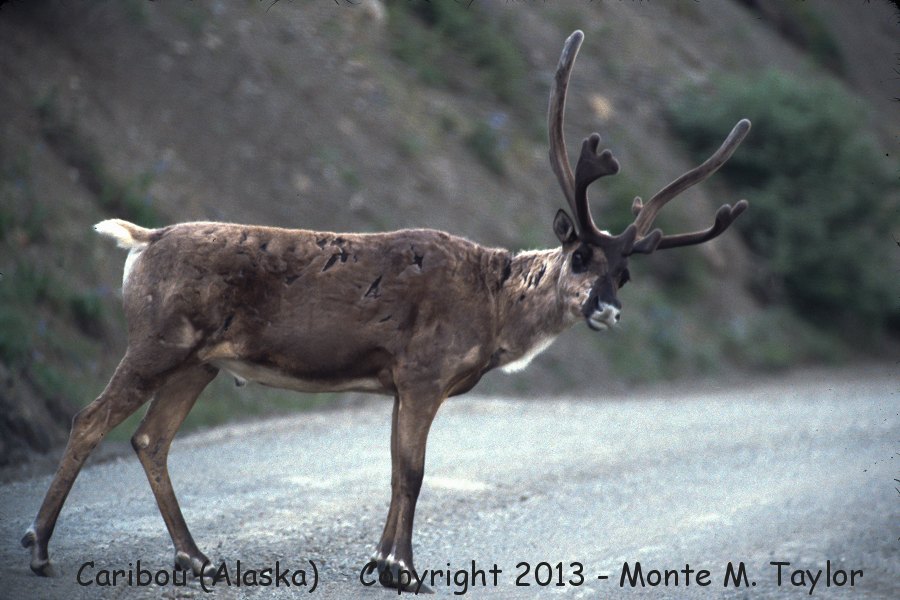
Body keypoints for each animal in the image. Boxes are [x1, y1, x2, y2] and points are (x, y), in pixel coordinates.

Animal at [22, 30, 750, 593]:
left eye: (624, 272)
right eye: (579, 256)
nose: (608, 309)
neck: (493, 311)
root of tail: (139, 241)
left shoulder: (399, 383)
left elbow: (397, 472)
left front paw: (380, 562)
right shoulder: (424, 373)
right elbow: (415, 473)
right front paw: (405, 569)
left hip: (197, 361)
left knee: (150, 438)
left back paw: (195, 557)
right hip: (157, 340)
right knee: (90, 420)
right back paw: (40, 547)